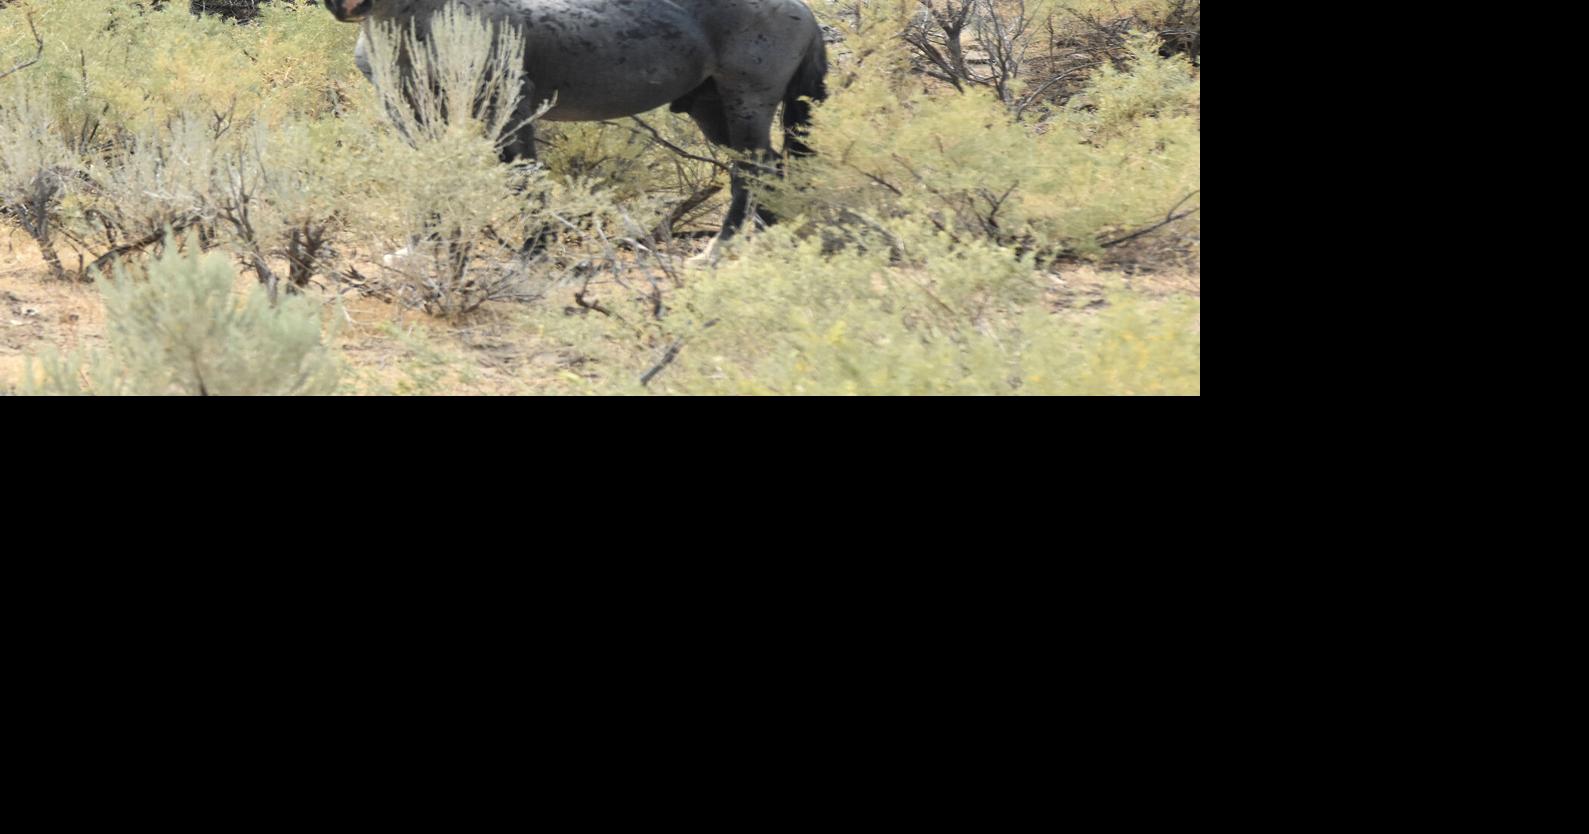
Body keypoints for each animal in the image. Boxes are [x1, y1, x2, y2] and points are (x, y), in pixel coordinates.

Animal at [323, 0, 828, 250]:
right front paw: (423, 246)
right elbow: (431, 178)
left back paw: (724, 249)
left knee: (754, 171)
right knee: (771, 170)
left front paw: (534, 252)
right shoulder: (414, 115)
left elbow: (525, 180)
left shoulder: (512, 107)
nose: (346, 3)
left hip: (746, 104)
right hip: (713, 112)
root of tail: (802, 7)